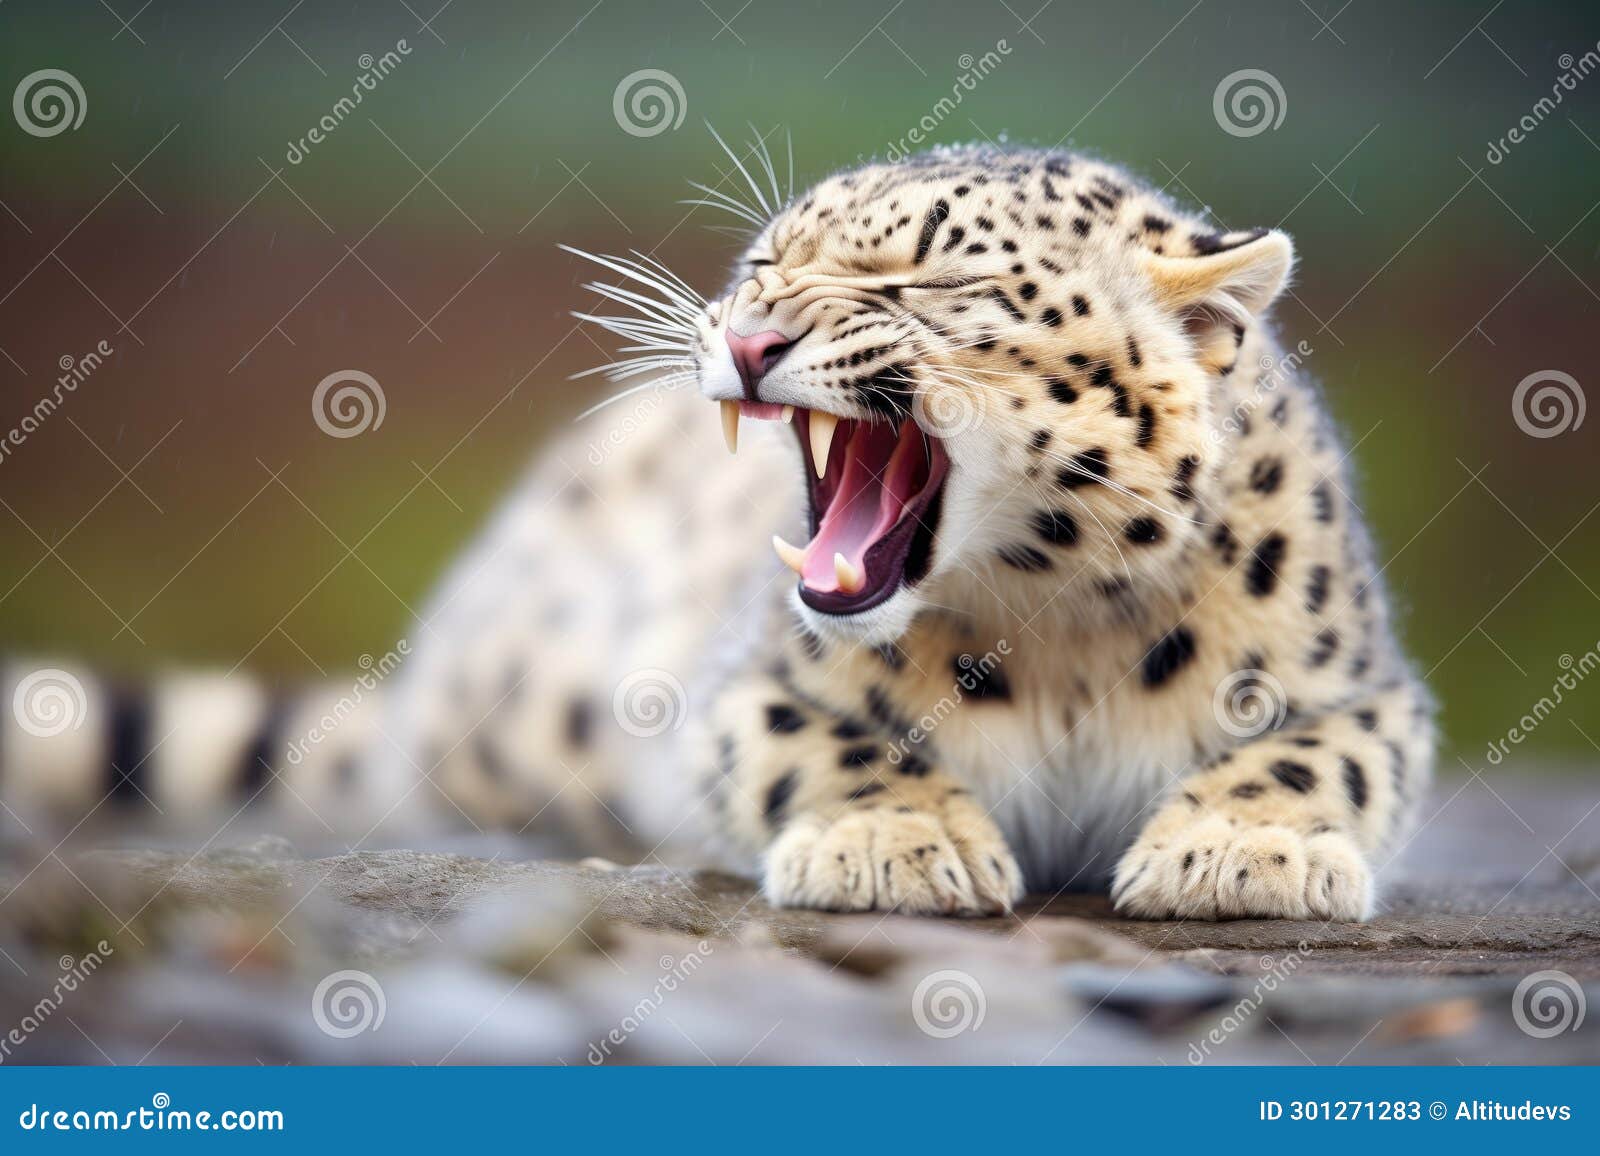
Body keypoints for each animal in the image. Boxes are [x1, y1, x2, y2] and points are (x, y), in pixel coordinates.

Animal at [0, 141, 1434, 922]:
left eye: (928, 278)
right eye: (765, 262)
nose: (746, 335)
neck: (1059, 630)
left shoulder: (1367, 688)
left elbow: (1320, 754)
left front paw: (1239, 846)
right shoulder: (741, 687)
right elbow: (823, 742)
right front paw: (889, 843)